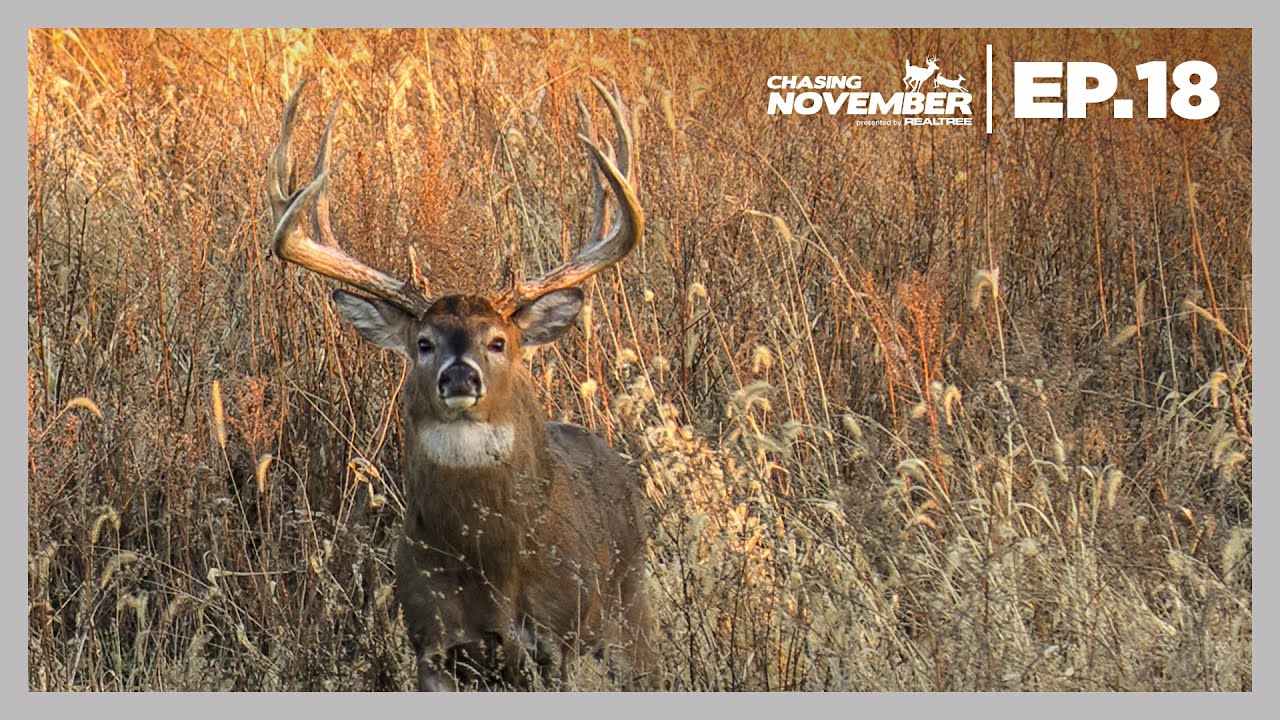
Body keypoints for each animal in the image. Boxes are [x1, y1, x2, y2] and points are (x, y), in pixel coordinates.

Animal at [267, 78, 656, 691]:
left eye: (498, 341)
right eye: (424, 342)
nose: (459, 374)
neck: (490, 561)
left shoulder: (557, 641)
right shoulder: (431, 641)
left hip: (629, 615)